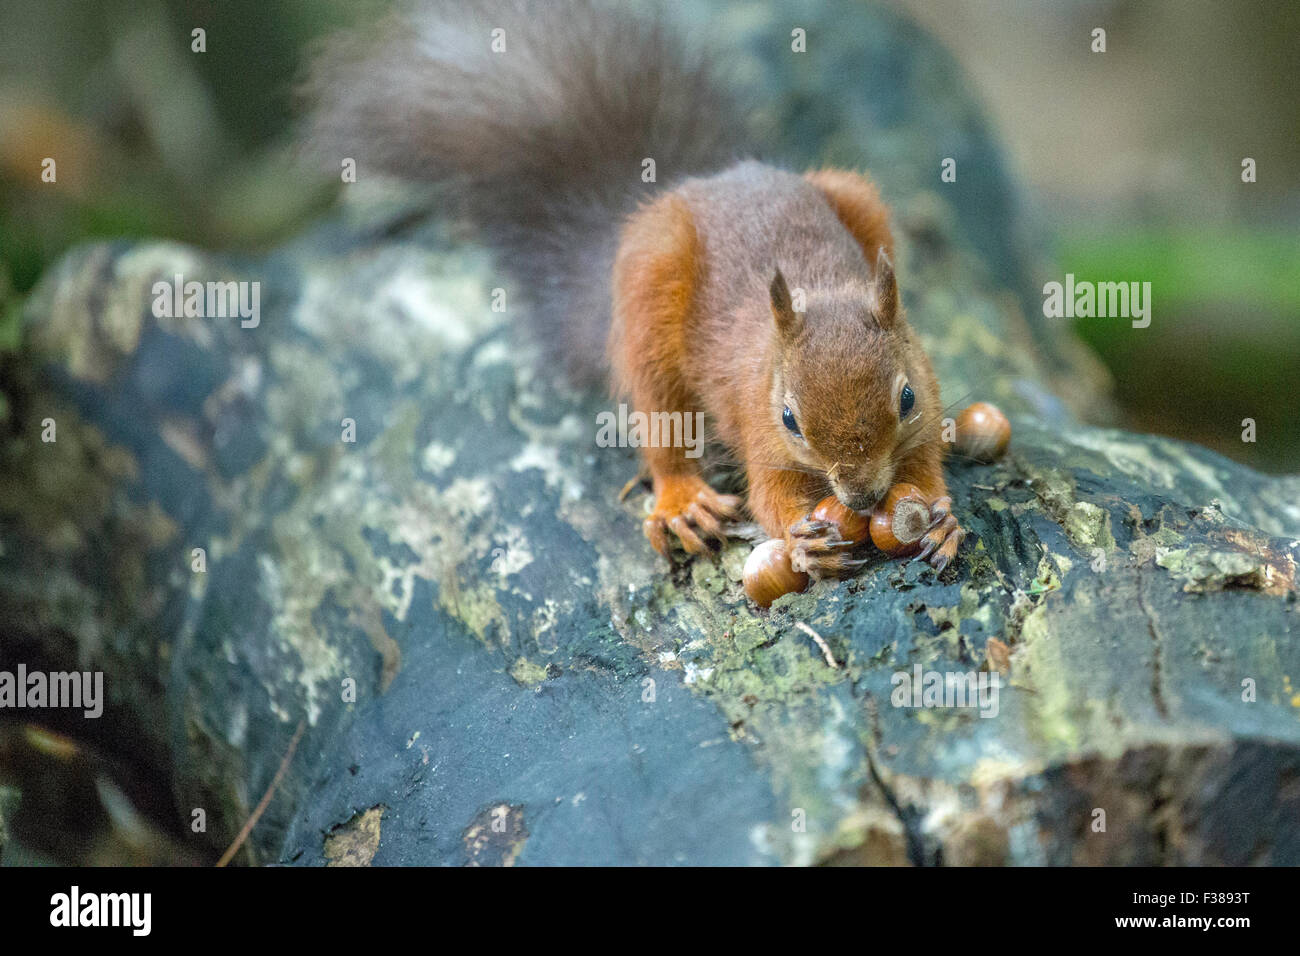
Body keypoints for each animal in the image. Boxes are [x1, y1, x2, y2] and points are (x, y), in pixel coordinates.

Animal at [303, 0, 963, 575]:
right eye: (789, 419)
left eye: (905, 399)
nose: (862, 499)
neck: (819, 293)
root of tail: (700, 183)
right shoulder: (757, 427)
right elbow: (769, 497)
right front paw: (802, 545)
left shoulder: (930, 400)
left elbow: (928, 462)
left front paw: (941, 521)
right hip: (650, 288)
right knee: (658, 419)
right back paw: (680, 501)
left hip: (854, 197)